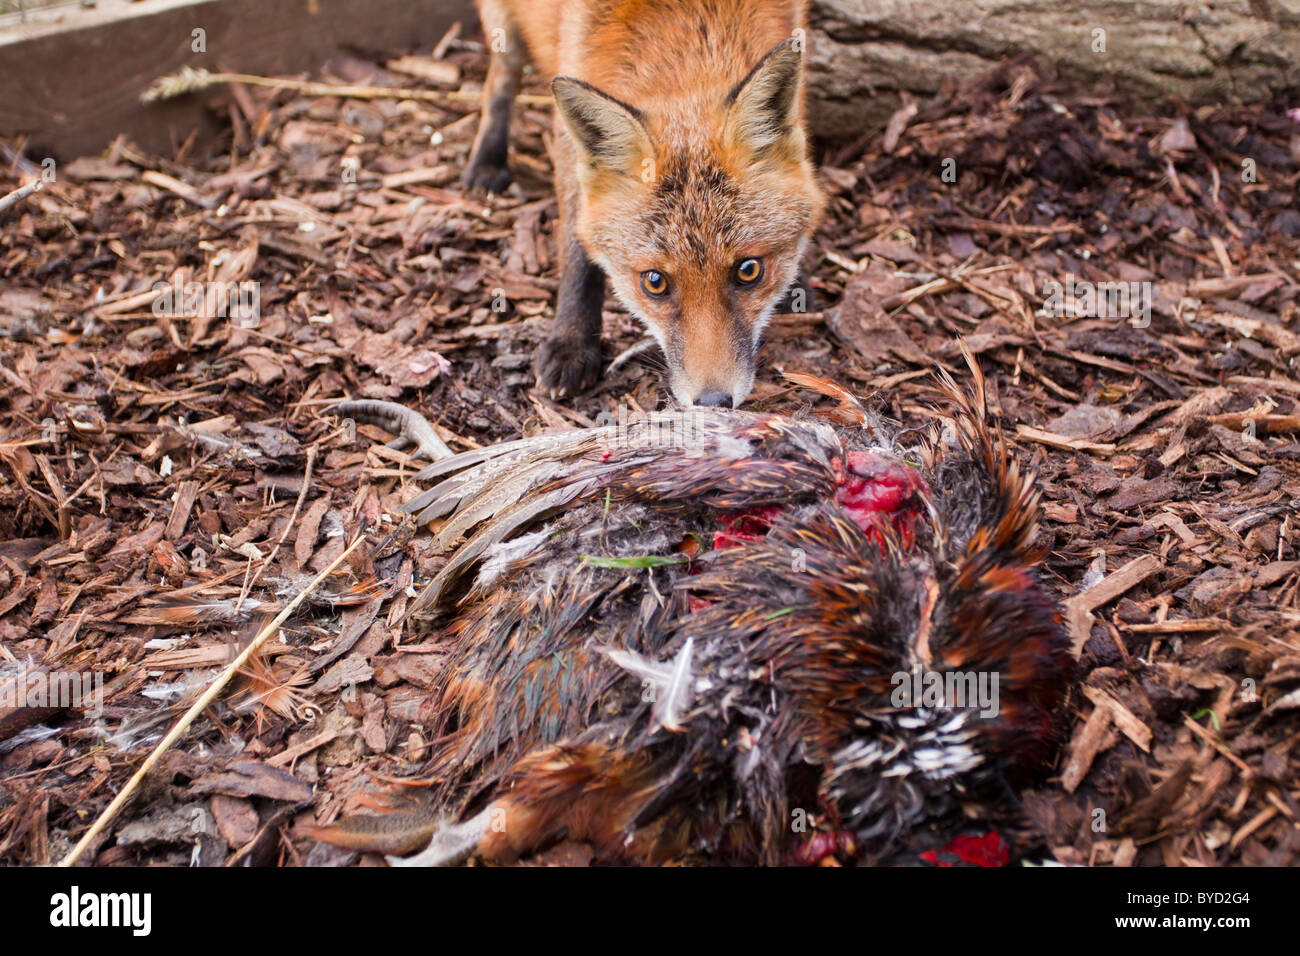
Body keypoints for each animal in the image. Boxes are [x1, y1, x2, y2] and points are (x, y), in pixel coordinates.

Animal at [463, 0, 825, 408]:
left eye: (749, 270)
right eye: (655, 282)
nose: (713, 402)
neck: (684, 27)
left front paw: (798, 280)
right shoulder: (570, 129)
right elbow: (577, 246)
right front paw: (572, 342)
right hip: (504, 30)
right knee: (499, 81)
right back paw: (486, 161)